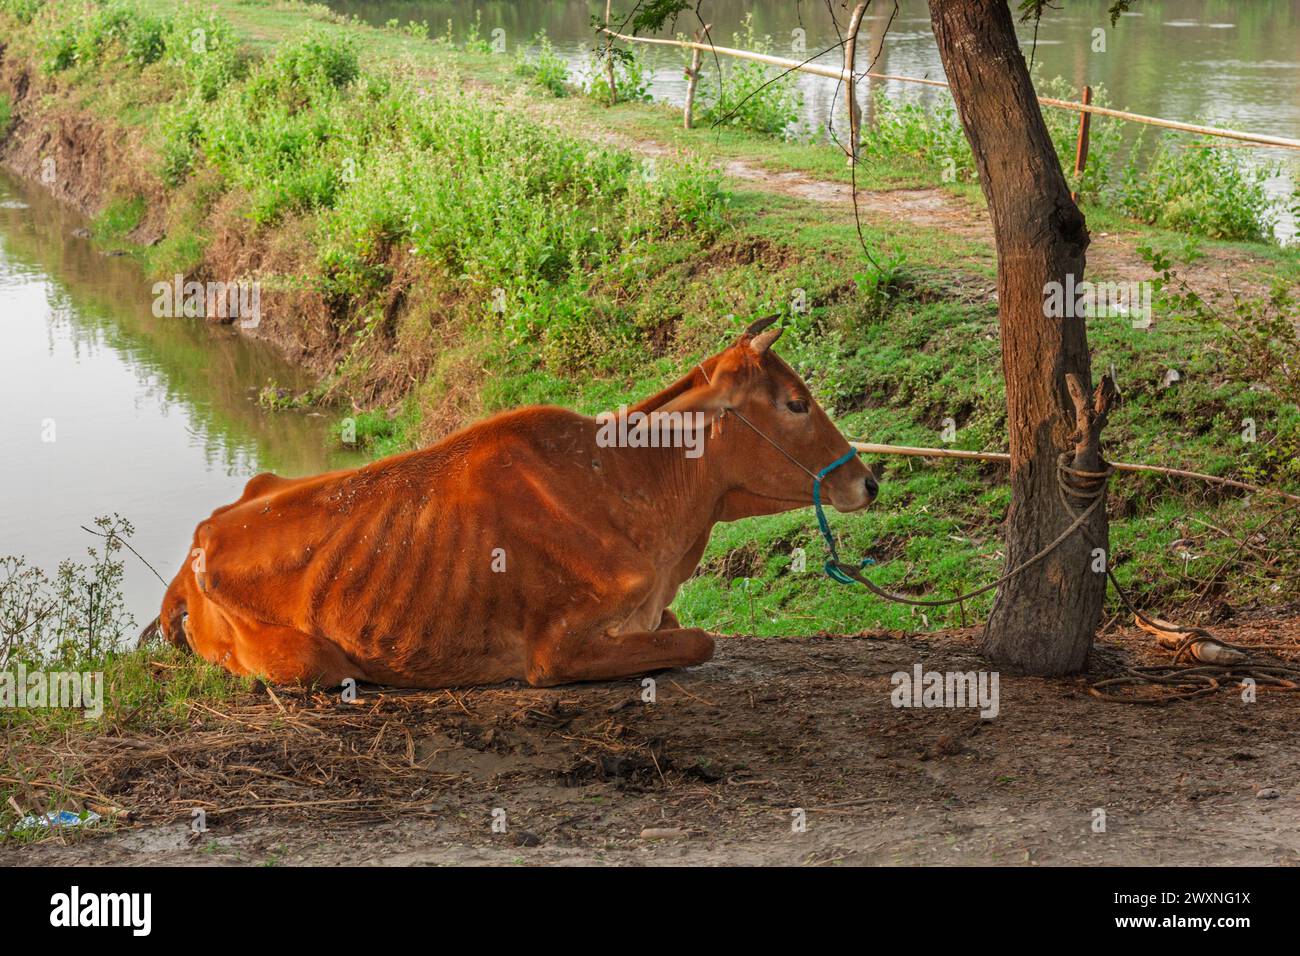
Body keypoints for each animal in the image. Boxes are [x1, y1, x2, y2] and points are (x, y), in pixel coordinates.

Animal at [156, 317, 878, 688]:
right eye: (795, 403)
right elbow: (700, 642)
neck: (629, 484)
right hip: (310, 665)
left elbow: (681, 629)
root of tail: (197, 544)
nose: (867, 482)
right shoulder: (553, 652)